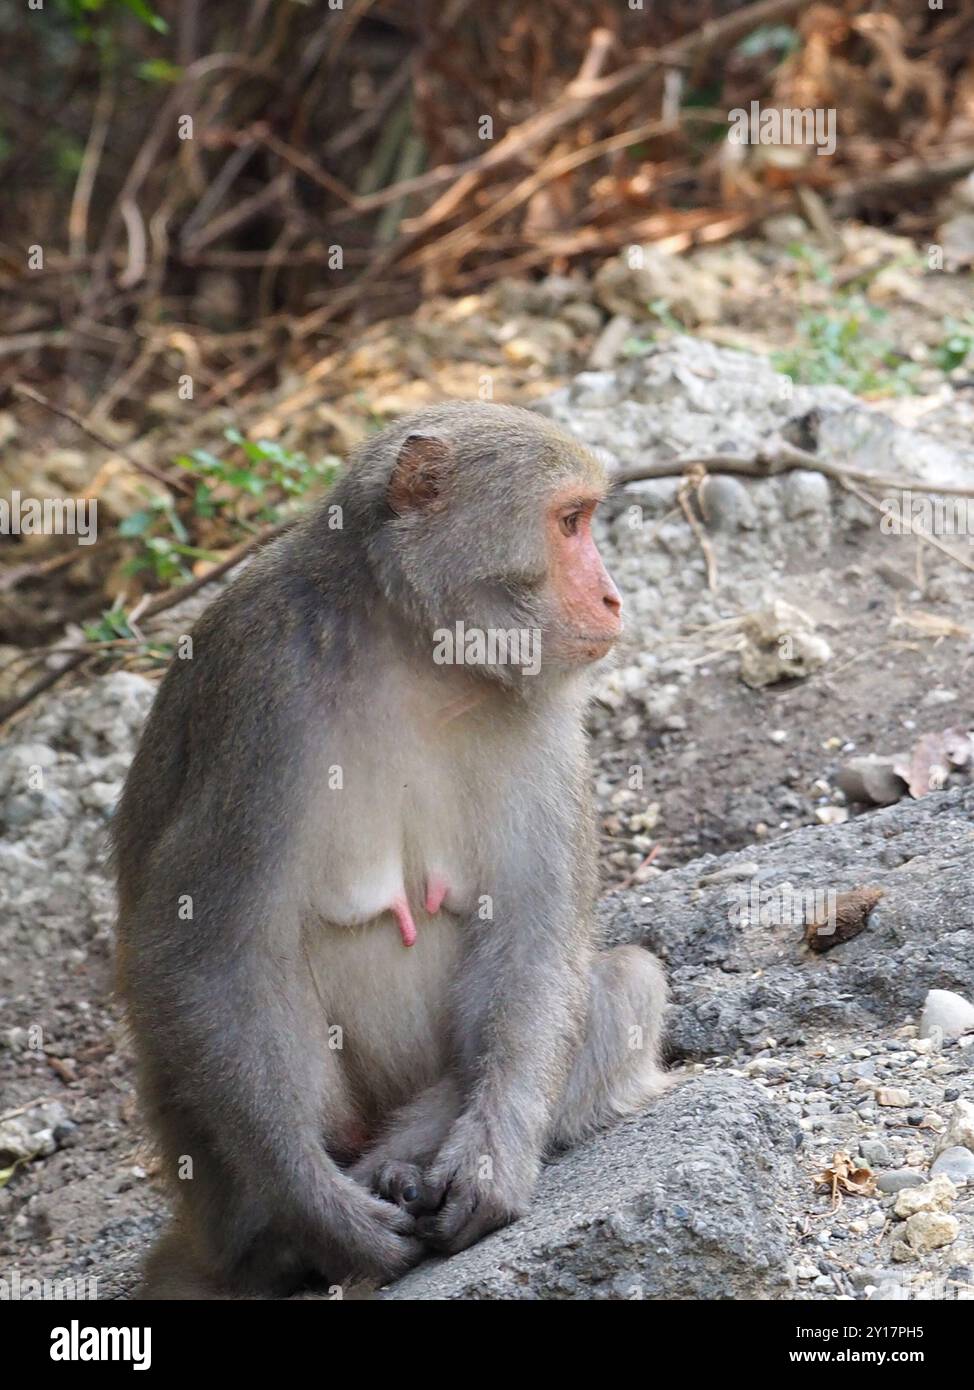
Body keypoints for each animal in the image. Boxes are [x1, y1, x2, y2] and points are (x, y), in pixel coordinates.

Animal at [113, 401, 669, 1299]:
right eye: (571, 522)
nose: (613, 598)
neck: (418, 651)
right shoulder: (265, 688)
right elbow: (200, 952)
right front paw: (318, 1207)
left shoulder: (544, 710)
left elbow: (531, 932)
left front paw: (489, 1160)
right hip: (210, 1180)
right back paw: (290, 1238)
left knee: (625, 984)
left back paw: (402, 1166)